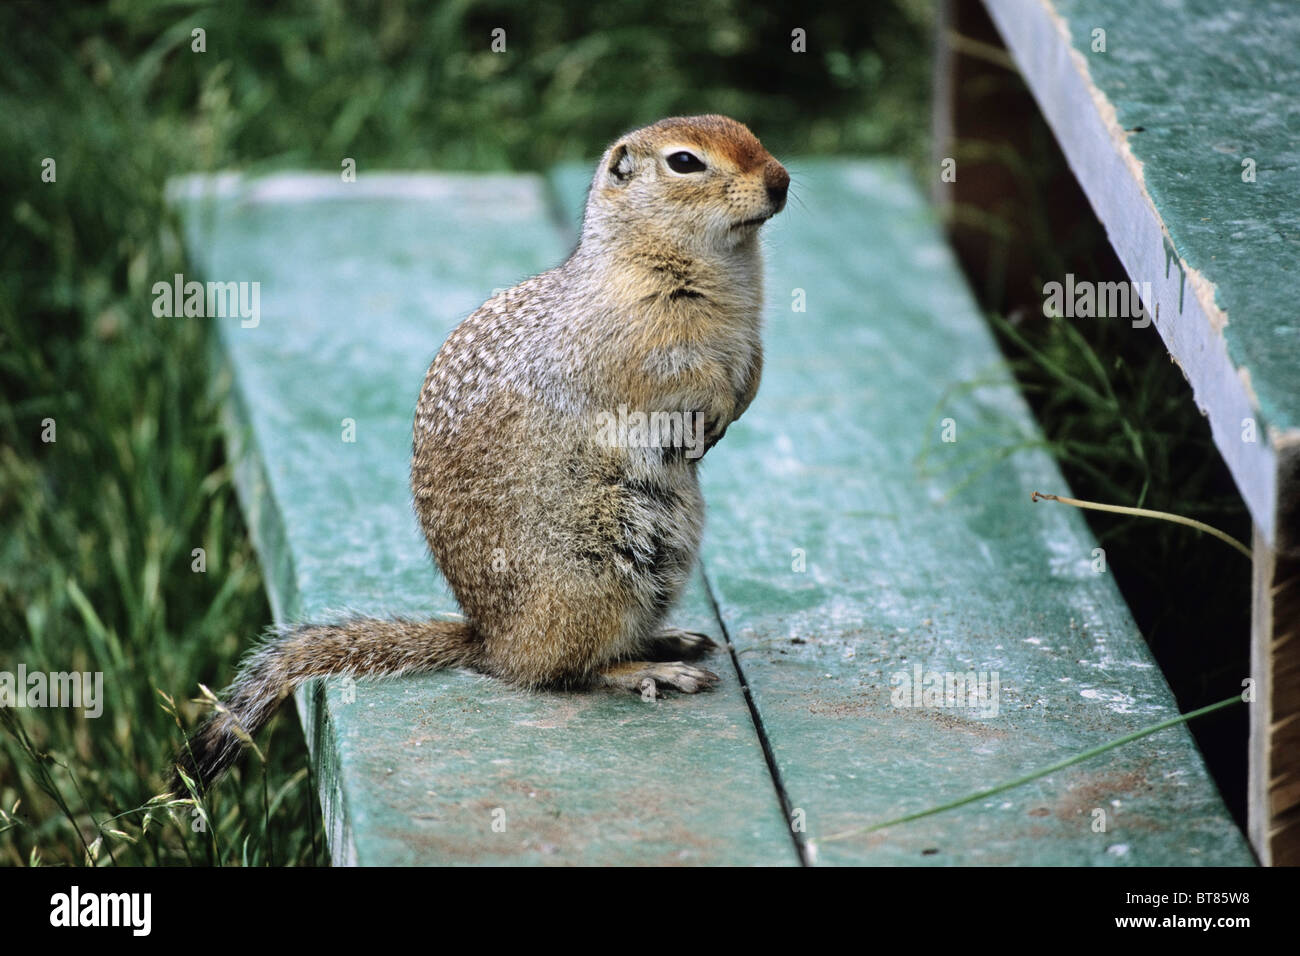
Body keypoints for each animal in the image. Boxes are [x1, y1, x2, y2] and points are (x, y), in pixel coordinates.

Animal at [167, 115, 785, 796]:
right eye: (685, 162)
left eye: (750, 133)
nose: (782, 181)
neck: (722, 263)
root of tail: (488, 640)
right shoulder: (641, 341)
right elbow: (682, 379)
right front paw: (717, 407)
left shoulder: (751, 332)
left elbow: (754, 369)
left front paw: (739, 403)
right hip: (598, 575)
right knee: (562, 673)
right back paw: (647, 669)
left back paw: (670, 641)